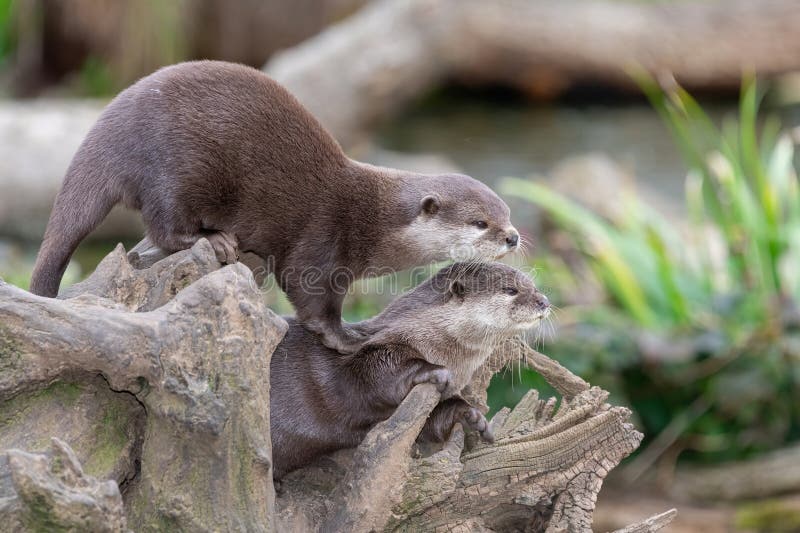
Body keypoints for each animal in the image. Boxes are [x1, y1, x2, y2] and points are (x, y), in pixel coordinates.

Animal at [29, 60, 519, 352]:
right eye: (480, 222)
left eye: (507, 214)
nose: (513, 237)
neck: (372, 219)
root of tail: (108, 130)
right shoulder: (323, 237)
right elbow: (312, 298)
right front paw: (350, 336)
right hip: (177, 170)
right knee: (163, 224)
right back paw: (214, 239)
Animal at [270, 262, 550, 478]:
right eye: (511, 290)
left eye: (535, 286)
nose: (544, 301)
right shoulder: (361, 358)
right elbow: (367, 375)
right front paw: (433, 370)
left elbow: (431, 425)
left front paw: (472, 416)